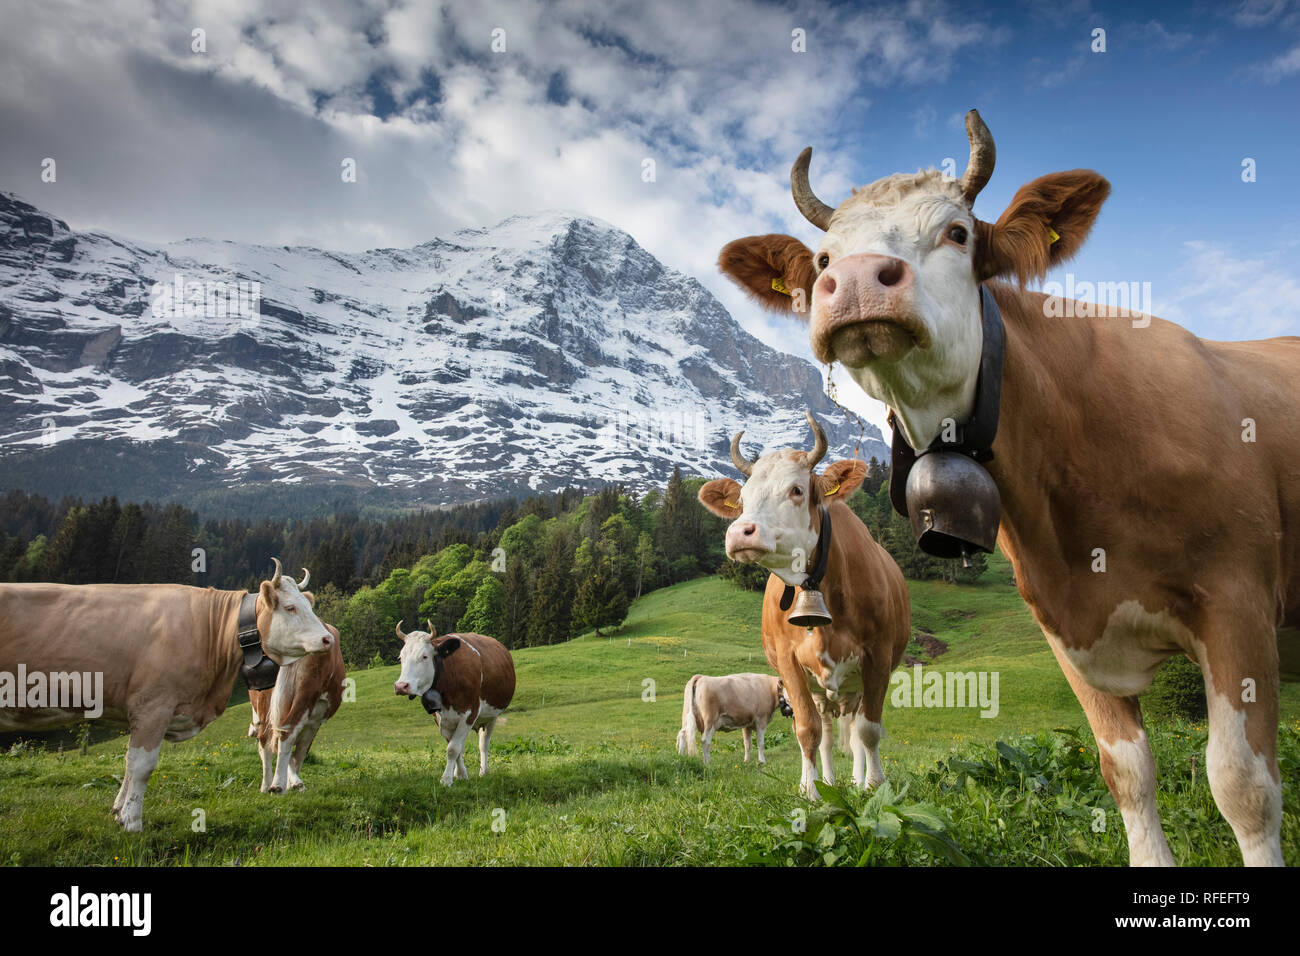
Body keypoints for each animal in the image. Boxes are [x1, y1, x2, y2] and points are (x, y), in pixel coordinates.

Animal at [0, 559, 333, 831]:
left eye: (309, 605)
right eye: (290, 607)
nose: (328, 638)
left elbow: (127, 762)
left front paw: (119, 811)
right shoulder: (153, 706)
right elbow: (141, 766)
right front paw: (132, 822)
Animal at [248, 570, 346, 794]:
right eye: (290, 607)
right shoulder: (315, 717)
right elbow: (299, 751)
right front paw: (293, 781)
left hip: (264, 697)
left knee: (266, 738)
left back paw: (266, 784)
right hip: (305, 693)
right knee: (285, 732)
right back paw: (277, 785)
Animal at [393, 621, 516, 787]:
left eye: (424, 656)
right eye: (401, 658)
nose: (401, 686)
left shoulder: (469, 714)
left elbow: (453, 749)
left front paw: (446, 780)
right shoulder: (441, 719)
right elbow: (455, 748)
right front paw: (460, 774)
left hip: (492, 716)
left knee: (484, 744)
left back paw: (484, 771)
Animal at [698, 412, 911, 798]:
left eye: (796, 490)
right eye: (743, 499)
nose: (738, 533)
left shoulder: (879, 656)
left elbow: (869, 730)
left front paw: (875, 784)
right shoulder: (789, 662)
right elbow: (807, 730)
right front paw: (810, 790)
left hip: (853, 685)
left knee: (854, 732)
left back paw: (857, 780)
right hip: (821, 691)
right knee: (826, 733)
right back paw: (829, 781)